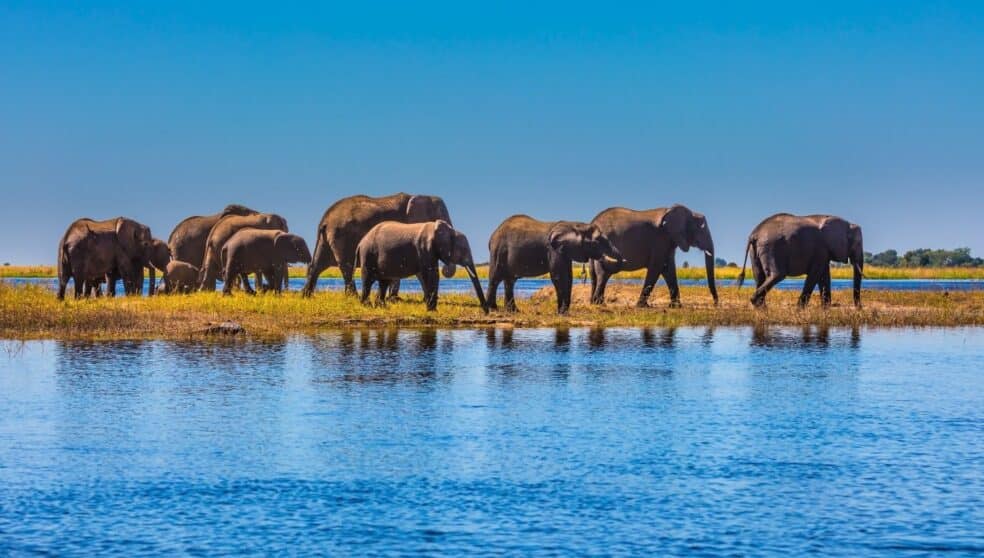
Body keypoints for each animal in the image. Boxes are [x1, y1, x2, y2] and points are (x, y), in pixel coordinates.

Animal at [302, 193, 453, 297]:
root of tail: (325, 219)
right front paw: (395, 299)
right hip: (341, 236)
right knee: (346, 266)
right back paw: (353, 297)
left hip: (326, 238)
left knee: (317, 264)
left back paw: (306, 296)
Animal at [355, 220, 487, 312]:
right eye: (464, 250)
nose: (486, 311)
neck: (449, 230)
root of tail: (360, 242)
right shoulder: (425, 248)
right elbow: (431, 274)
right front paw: (432, 311)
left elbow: (434, 274)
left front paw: (432, 310)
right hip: (368, 254)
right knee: (368, 280)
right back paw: (366, 306)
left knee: (384, 282)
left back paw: (381, 307)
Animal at [486, 215, 623, 315]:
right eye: (597, 241)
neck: (575, 225)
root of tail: (492, 235)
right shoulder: (553, 250)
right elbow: (558, 277)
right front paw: (561, 312)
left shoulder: (565, 251)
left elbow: (568, 277)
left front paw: (564, 313)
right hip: (499, 250)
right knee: (495, 278)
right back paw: (493, 309)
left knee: (510, 281)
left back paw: (513, 311)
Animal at [589, 205, 718, 308]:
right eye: (701, 229)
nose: (715, 304)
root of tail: (593, 221)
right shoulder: (660, 240)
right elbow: (657, 267)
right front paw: (643, 306)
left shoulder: (669, 241)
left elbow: (668, 269)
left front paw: (675, 306)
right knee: (604, 274)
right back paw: (599, 303)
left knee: (595, 276)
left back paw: (593, 302)